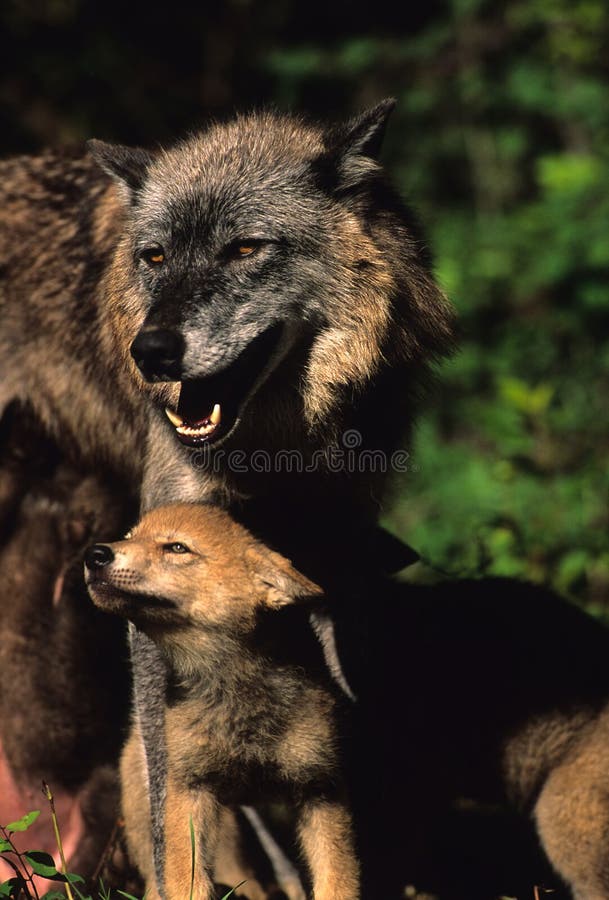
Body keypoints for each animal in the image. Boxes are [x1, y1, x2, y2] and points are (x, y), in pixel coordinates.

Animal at [0, 101, 453, 886]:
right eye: (153, 258)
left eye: (244, 249)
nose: (151, 353)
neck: (280, 452)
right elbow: (166, 778)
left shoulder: (342, 562)